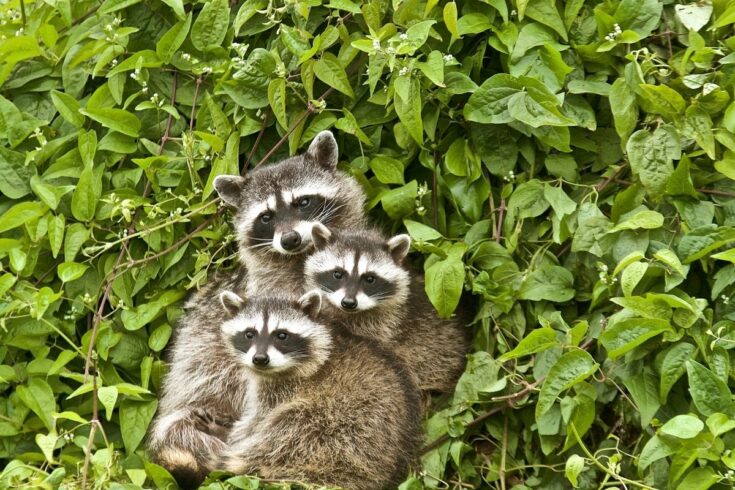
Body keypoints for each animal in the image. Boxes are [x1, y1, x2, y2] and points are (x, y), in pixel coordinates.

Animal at [215, 290, 422, 490]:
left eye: (281, 335)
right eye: (249, 334)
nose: (259, 359)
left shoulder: (284, 388)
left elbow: (259, 420)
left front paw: (239, 435)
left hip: (337, 430)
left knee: (286, 429)